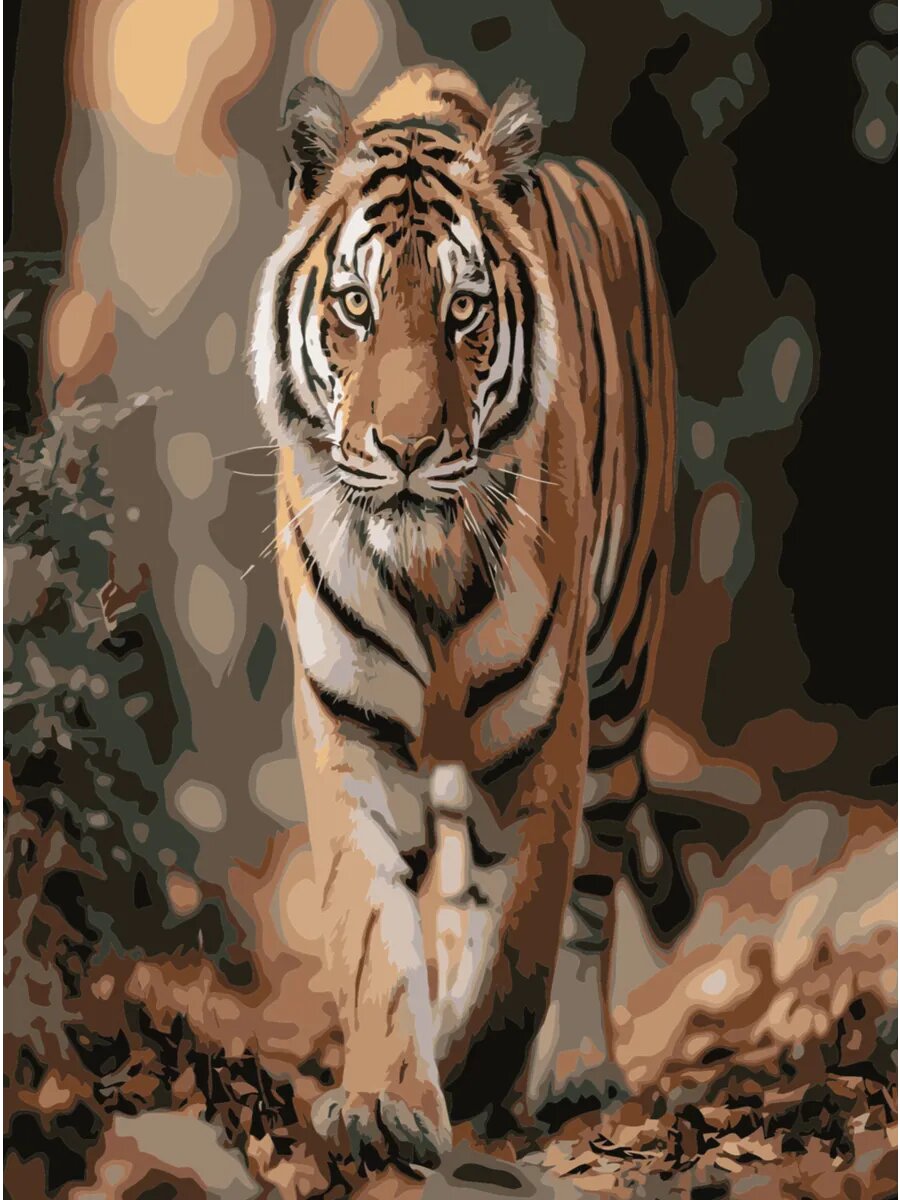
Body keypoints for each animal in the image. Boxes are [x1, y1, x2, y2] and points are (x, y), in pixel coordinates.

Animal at [250, 65, 675, 1169]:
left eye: (463, 310)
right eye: (356, 306)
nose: (405, 448)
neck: (426, 568)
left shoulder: (546, 731)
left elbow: (523, 938)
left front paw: (475, 1071)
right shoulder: (349, 726)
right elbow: (373, 931)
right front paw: (387, 1101)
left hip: (620, 681)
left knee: (588, 898)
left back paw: (576, 1075)